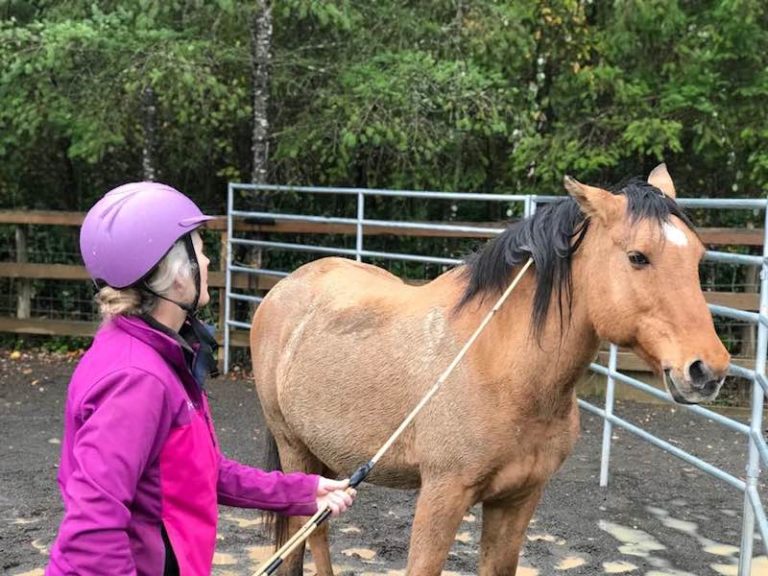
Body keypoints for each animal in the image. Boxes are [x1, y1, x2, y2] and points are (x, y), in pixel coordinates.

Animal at [249, 164, 730, 575]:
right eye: (637, 257)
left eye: (698, 257)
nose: (708, 369)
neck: (504, 369)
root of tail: (285, 288)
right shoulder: (441, 497)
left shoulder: (517, 500)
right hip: (294, 448)